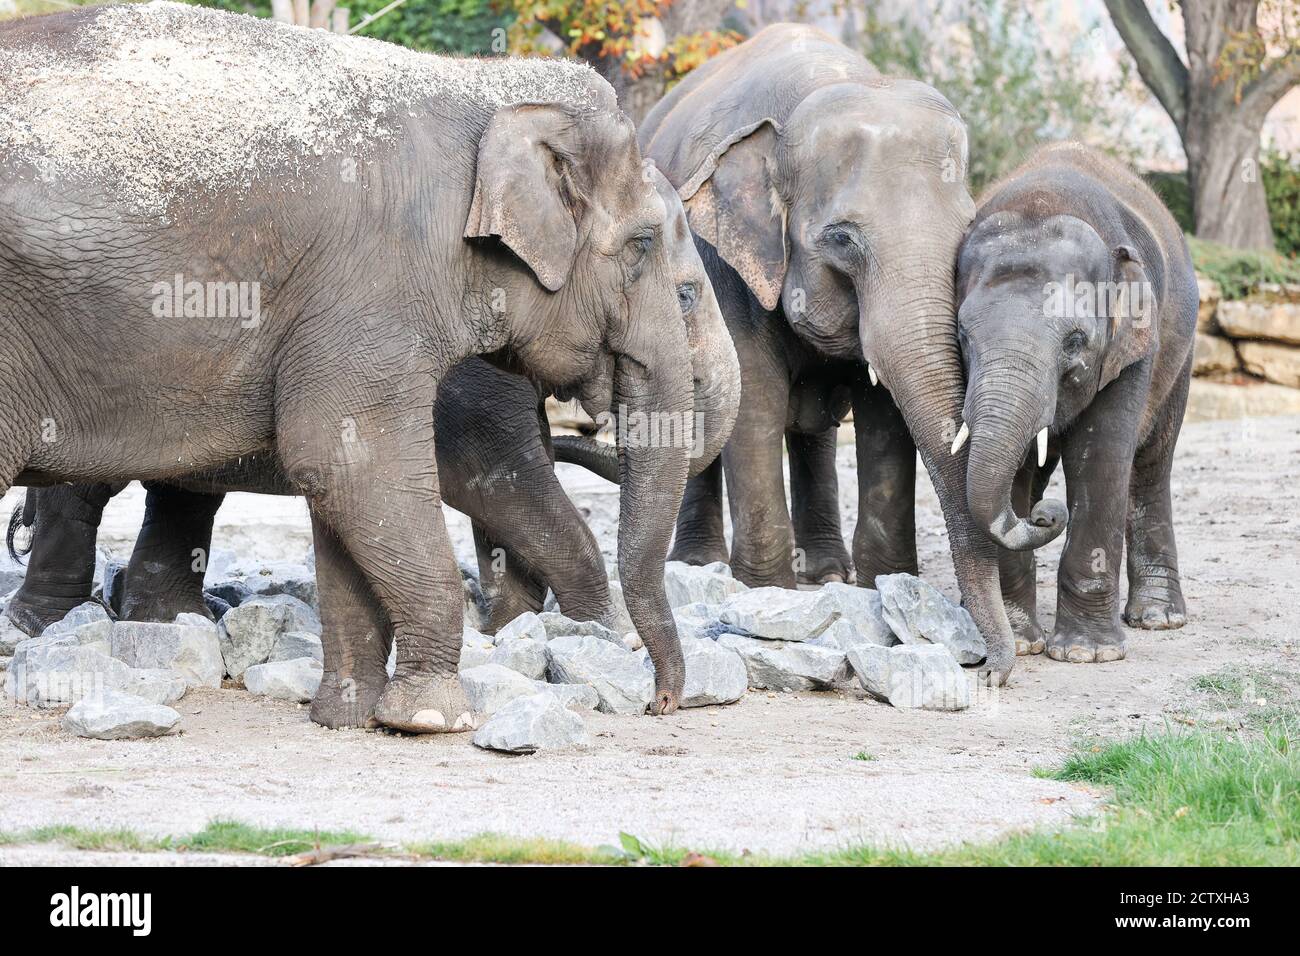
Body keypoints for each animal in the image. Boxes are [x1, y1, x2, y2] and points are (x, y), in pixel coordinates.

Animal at [0, 5, 738, 728]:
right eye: (646, 248)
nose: (662, 702)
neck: (483, 85)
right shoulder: (375, 285)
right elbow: (347, 459)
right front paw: (435, 718)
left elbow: (339, 476)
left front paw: (349, 717)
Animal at [614, 23, 1059, 680]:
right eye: (843, 240)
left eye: (966, 233)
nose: (992, 669)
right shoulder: (722, 262)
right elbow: (754, 400)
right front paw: (764, 593)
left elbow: (885, 416)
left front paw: (886, 586)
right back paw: (698, 567)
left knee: (813, 431)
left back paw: (825, 571)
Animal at [955, 142, 1197, 663]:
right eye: (962, 335)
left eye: (1075, 341)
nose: (1046, 515)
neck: (1044, 200)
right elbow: (1019, 468)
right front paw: (1022, 643)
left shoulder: (1131, 347)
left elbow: (1101, 454)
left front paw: (1088, 653)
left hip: (1180, 356)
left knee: (1152, 464)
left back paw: (1159, 618)